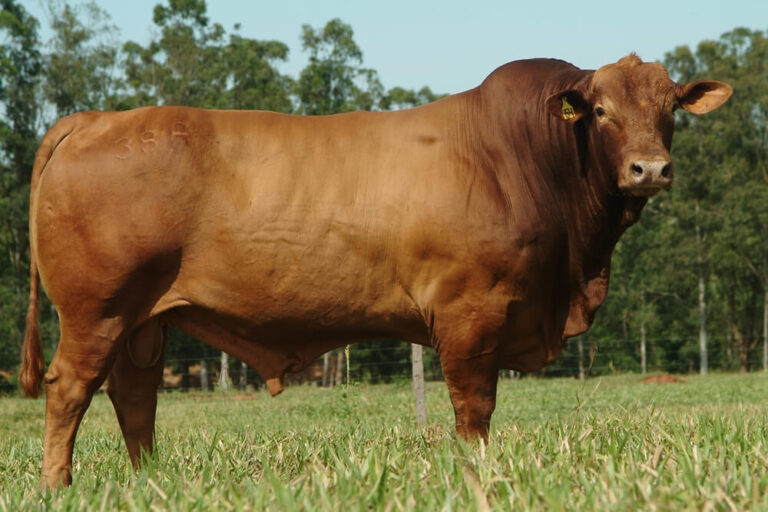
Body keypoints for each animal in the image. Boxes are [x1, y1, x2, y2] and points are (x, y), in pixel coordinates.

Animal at [19, 54, 731, 487]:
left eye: (669, 107)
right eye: (602, 111)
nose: (650, 168)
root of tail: (99, 118)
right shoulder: (470, 313)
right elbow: (474, 407)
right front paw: (478, 476)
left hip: (143, 319)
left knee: (134, 395)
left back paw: (149, 481)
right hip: (96, 310)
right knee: (70, 389)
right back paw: (59, 485)